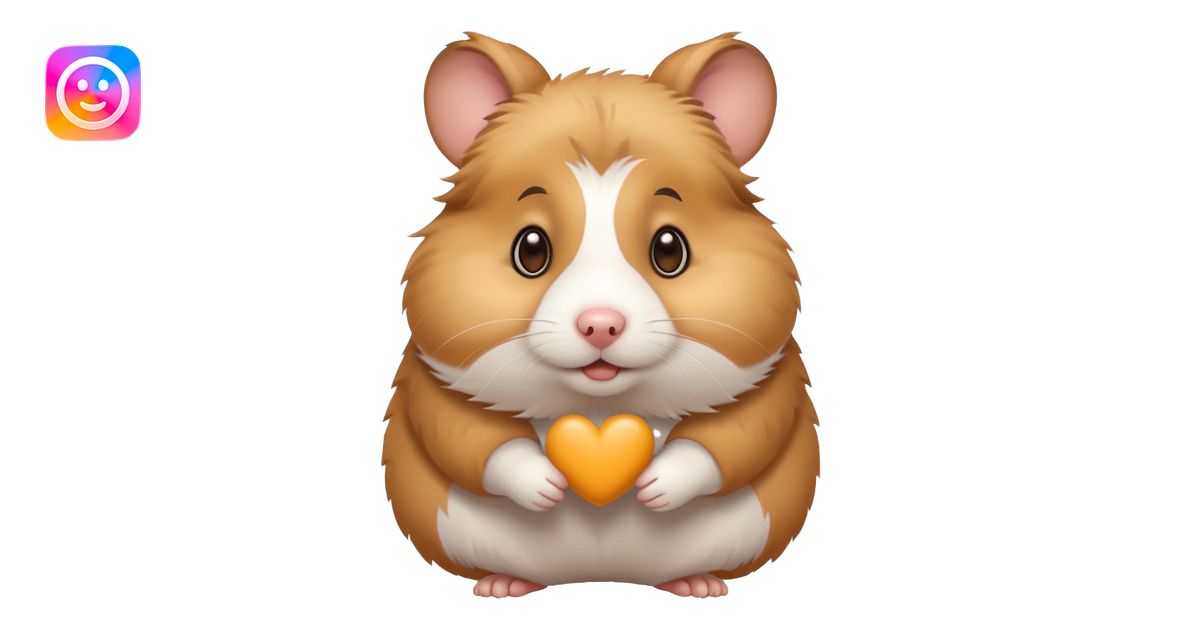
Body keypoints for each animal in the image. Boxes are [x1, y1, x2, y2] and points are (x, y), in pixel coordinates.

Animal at [382, 32, 819, 598]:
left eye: (670, 249)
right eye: (530, 249)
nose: (601, 325)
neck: (598, 407)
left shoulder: (774, 383)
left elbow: (733, 438)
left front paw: (653, 487)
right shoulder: (428, 384)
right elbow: (471, 437)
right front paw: (548, 485)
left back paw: (697, 585)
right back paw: (503, 585)